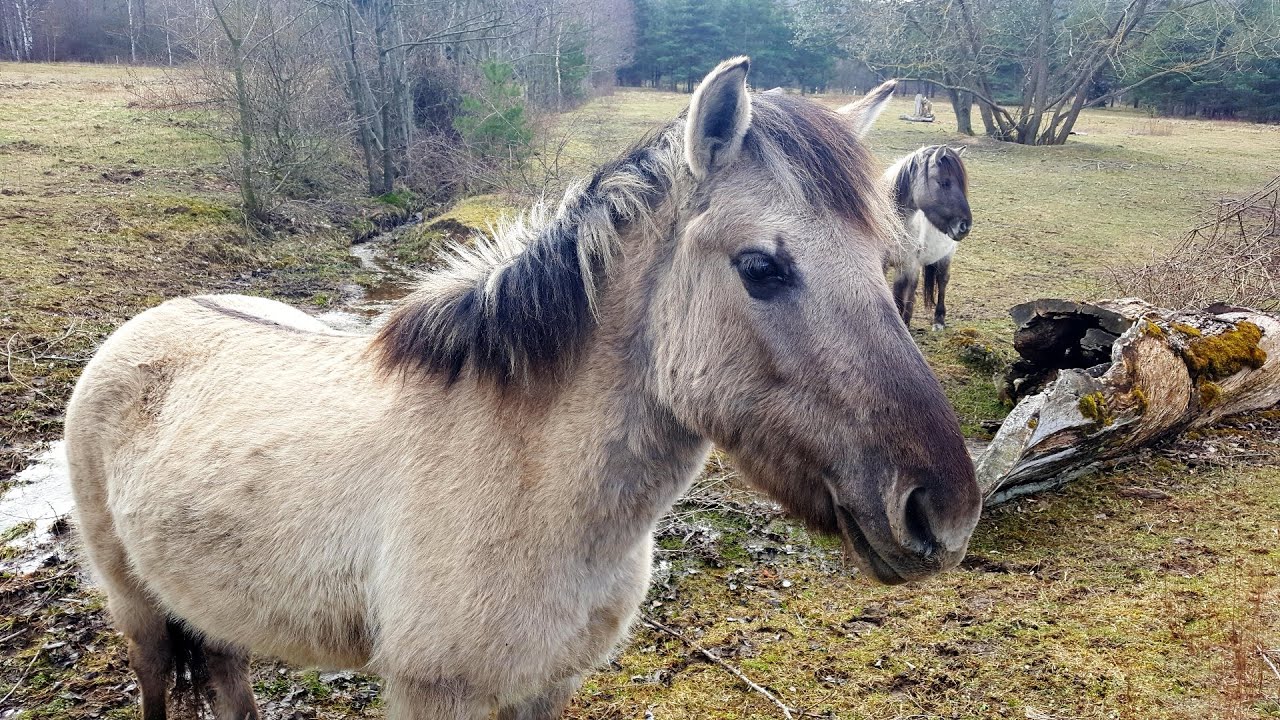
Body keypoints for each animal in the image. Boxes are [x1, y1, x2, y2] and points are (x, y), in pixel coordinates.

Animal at [883, 145, 972, 331]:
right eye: (944, 182)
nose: (965, 226)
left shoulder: (907, 267)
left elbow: (901, 300)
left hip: (945, 256)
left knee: (942, 281)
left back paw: (938, 320)